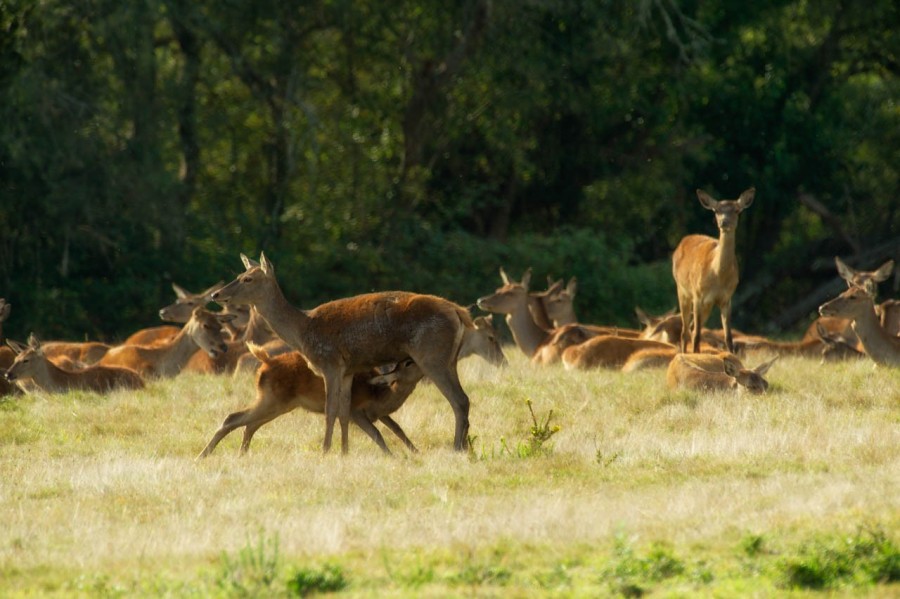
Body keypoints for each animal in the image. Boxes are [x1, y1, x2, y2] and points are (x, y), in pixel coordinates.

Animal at [211, 253, 478, 454]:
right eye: (238, 275)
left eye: (247, 279)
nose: (216, 294)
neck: (302, 332)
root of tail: (459, 312)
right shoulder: (349, 370)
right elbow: (344, 411)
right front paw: (344, 451)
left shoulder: (330, 363)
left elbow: (330, 411)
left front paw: (326, 451)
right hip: (449, 358)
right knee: (463, 399)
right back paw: (467, 448)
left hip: (432, 356)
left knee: (458, 400)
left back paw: (458, 448)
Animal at [672, 187, 755, 353]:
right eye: (716, 210)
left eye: (737, 210)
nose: (724, 222)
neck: (718, 275)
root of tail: (682, 241)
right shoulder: (698, 295)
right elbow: (697, 335)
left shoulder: (726, 299)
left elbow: (728, 337)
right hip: (683, 290)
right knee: (686, 330)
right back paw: (684, 353)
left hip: (707, 305)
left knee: (691, 328)